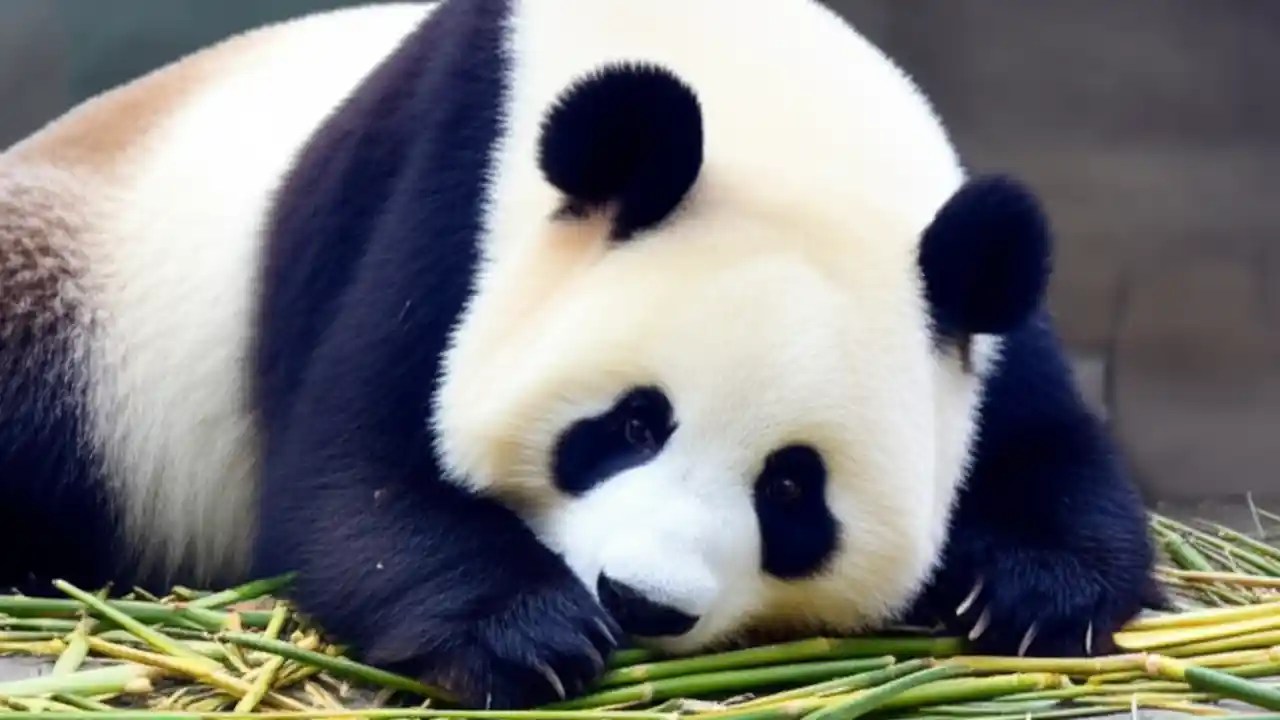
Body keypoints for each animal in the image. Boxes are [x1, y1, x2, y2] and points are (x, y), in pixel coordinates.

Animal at [0, 0, 1157, 709]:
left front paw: (1031, 591)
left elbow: (1048, 447)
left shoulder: (962, 282)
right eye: (630, 423)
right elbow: (353, 473)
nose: (641, 602)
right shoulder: (436, 193)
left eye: (792, 490)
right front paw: (530, 635)